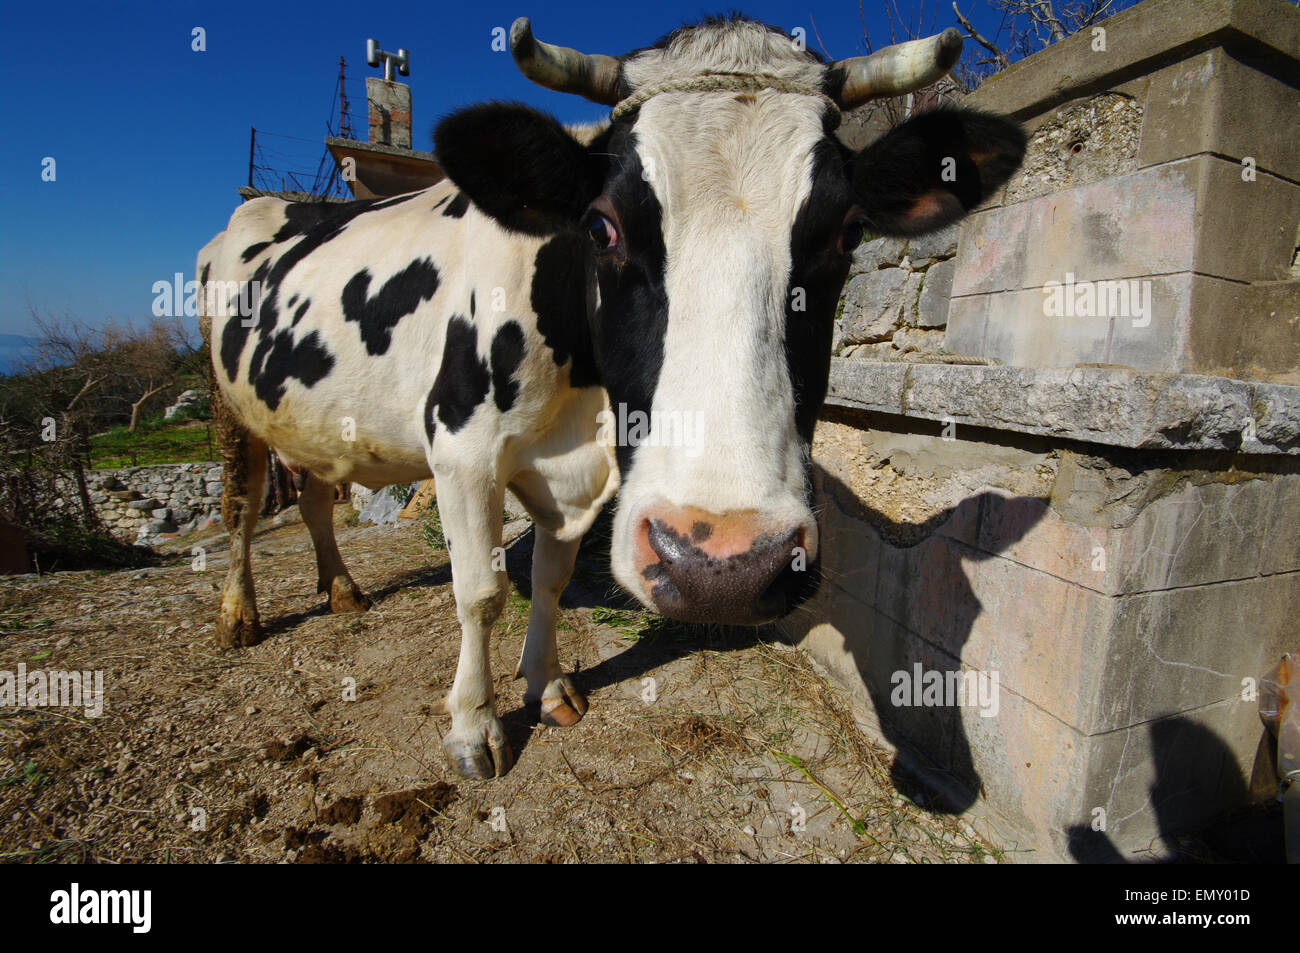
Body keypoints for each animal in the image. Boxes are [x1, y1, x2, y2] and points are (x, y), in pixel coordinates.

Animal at [197, 15, 1025, 780]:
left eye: (847, 233)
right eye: (601, 225)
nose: (723, 567)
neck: (579, 397)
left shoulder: (580, 471)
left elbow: (549, 578)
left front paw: (548, 684)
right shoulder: (460, 449)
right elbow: (479, 592)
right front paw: (474, 726)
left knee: (312, 496)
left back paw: (341, 588)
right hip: (227, 402)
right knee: (240, 506)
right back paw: (239, 615)